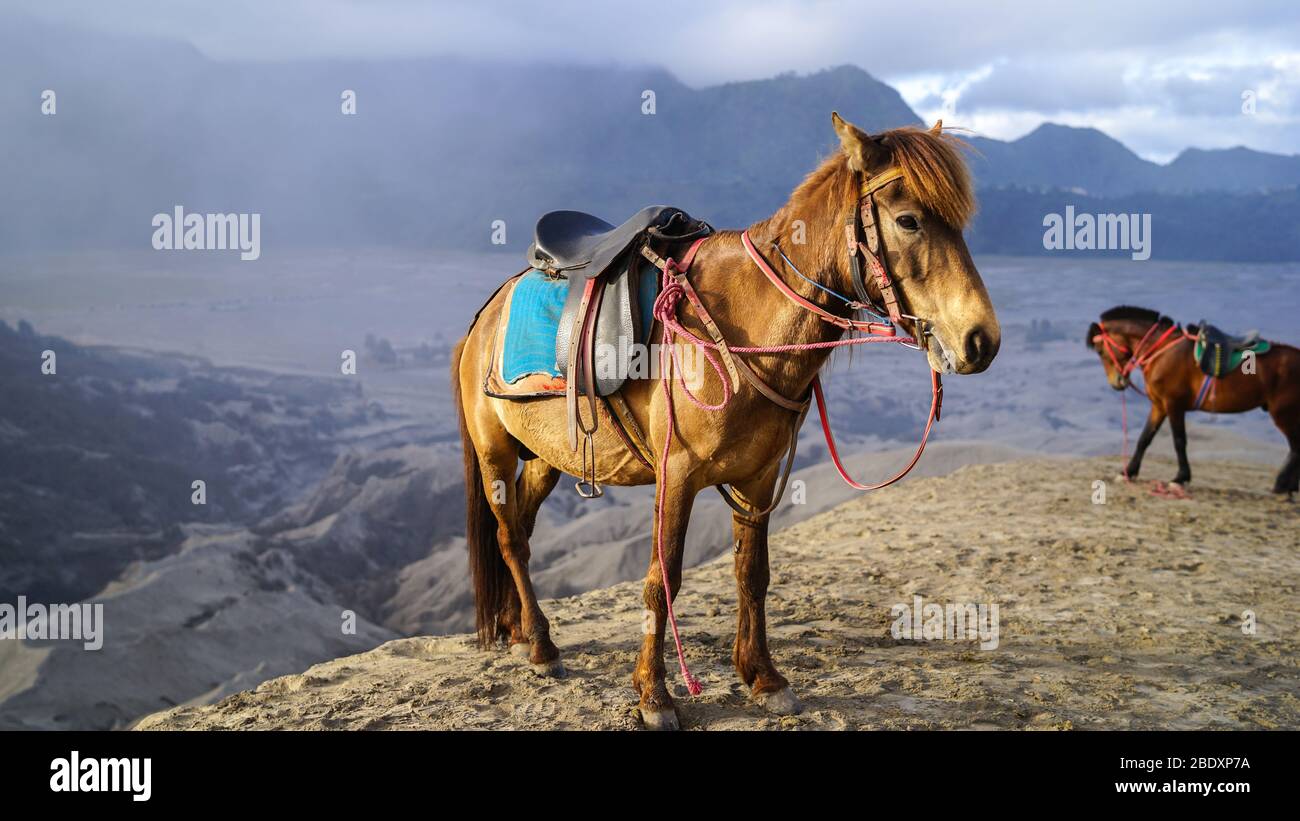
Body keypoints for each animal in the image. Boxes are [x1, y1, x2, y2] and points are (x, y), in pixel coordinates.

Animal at [453, 112, 1001, 730]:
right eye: (909, 220)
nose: (981, 340)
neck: (744, 324)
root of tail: (485, 314)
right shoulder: (678, 476)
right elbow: (661, 580)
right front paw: (654, 694)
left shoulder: (759, 477)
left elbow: (752, 575)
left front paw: (763, 676)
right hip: (496, 452)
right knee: (510, 539)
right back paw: (543, 647)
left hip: (549, 457)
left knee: (521, 528)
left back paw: (523, 630)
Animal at [1087, 305, 1300, 496]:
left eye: (1100, 351)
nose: (1117, 382)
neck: (1162, 351)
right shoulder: (1159, 406)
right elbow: (1145, 438)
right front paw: (1128, 472)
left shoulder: (1173, 405)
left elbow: (1179, 441)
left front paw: (1180, 478)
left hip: (1283, 414)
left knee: (1295, 447)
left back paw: (1282, 485)